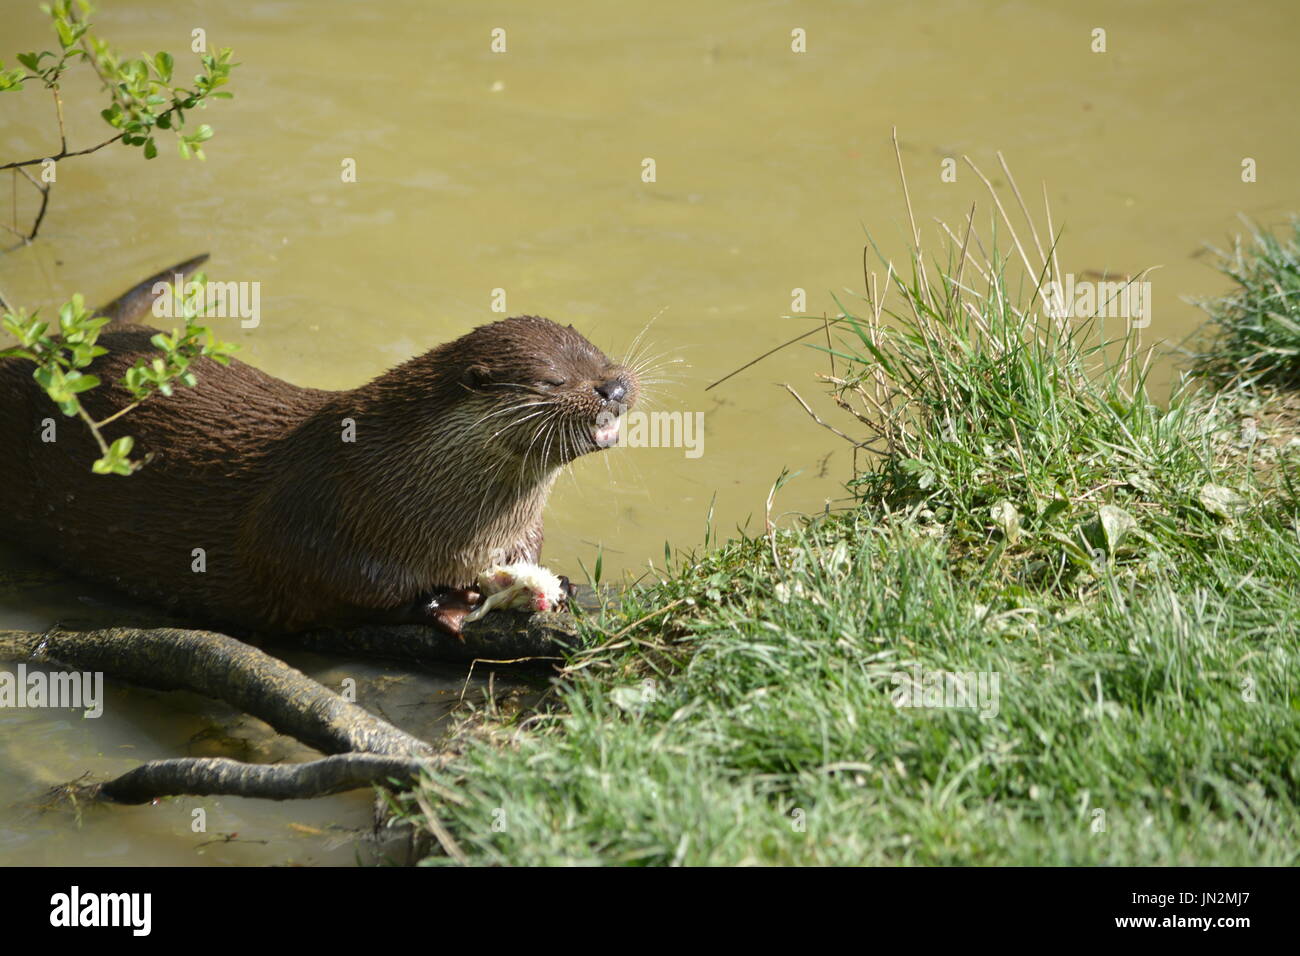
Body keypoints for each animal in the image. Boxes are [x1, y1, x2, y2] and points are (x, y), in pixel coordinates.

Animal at [0, 257, 637, 636]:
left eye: (597, 352)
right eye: (553, 380)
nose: (614, 385)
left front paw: (556, 580)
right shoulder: (308, 514)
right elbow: (330, 585)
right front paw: (437, 600)